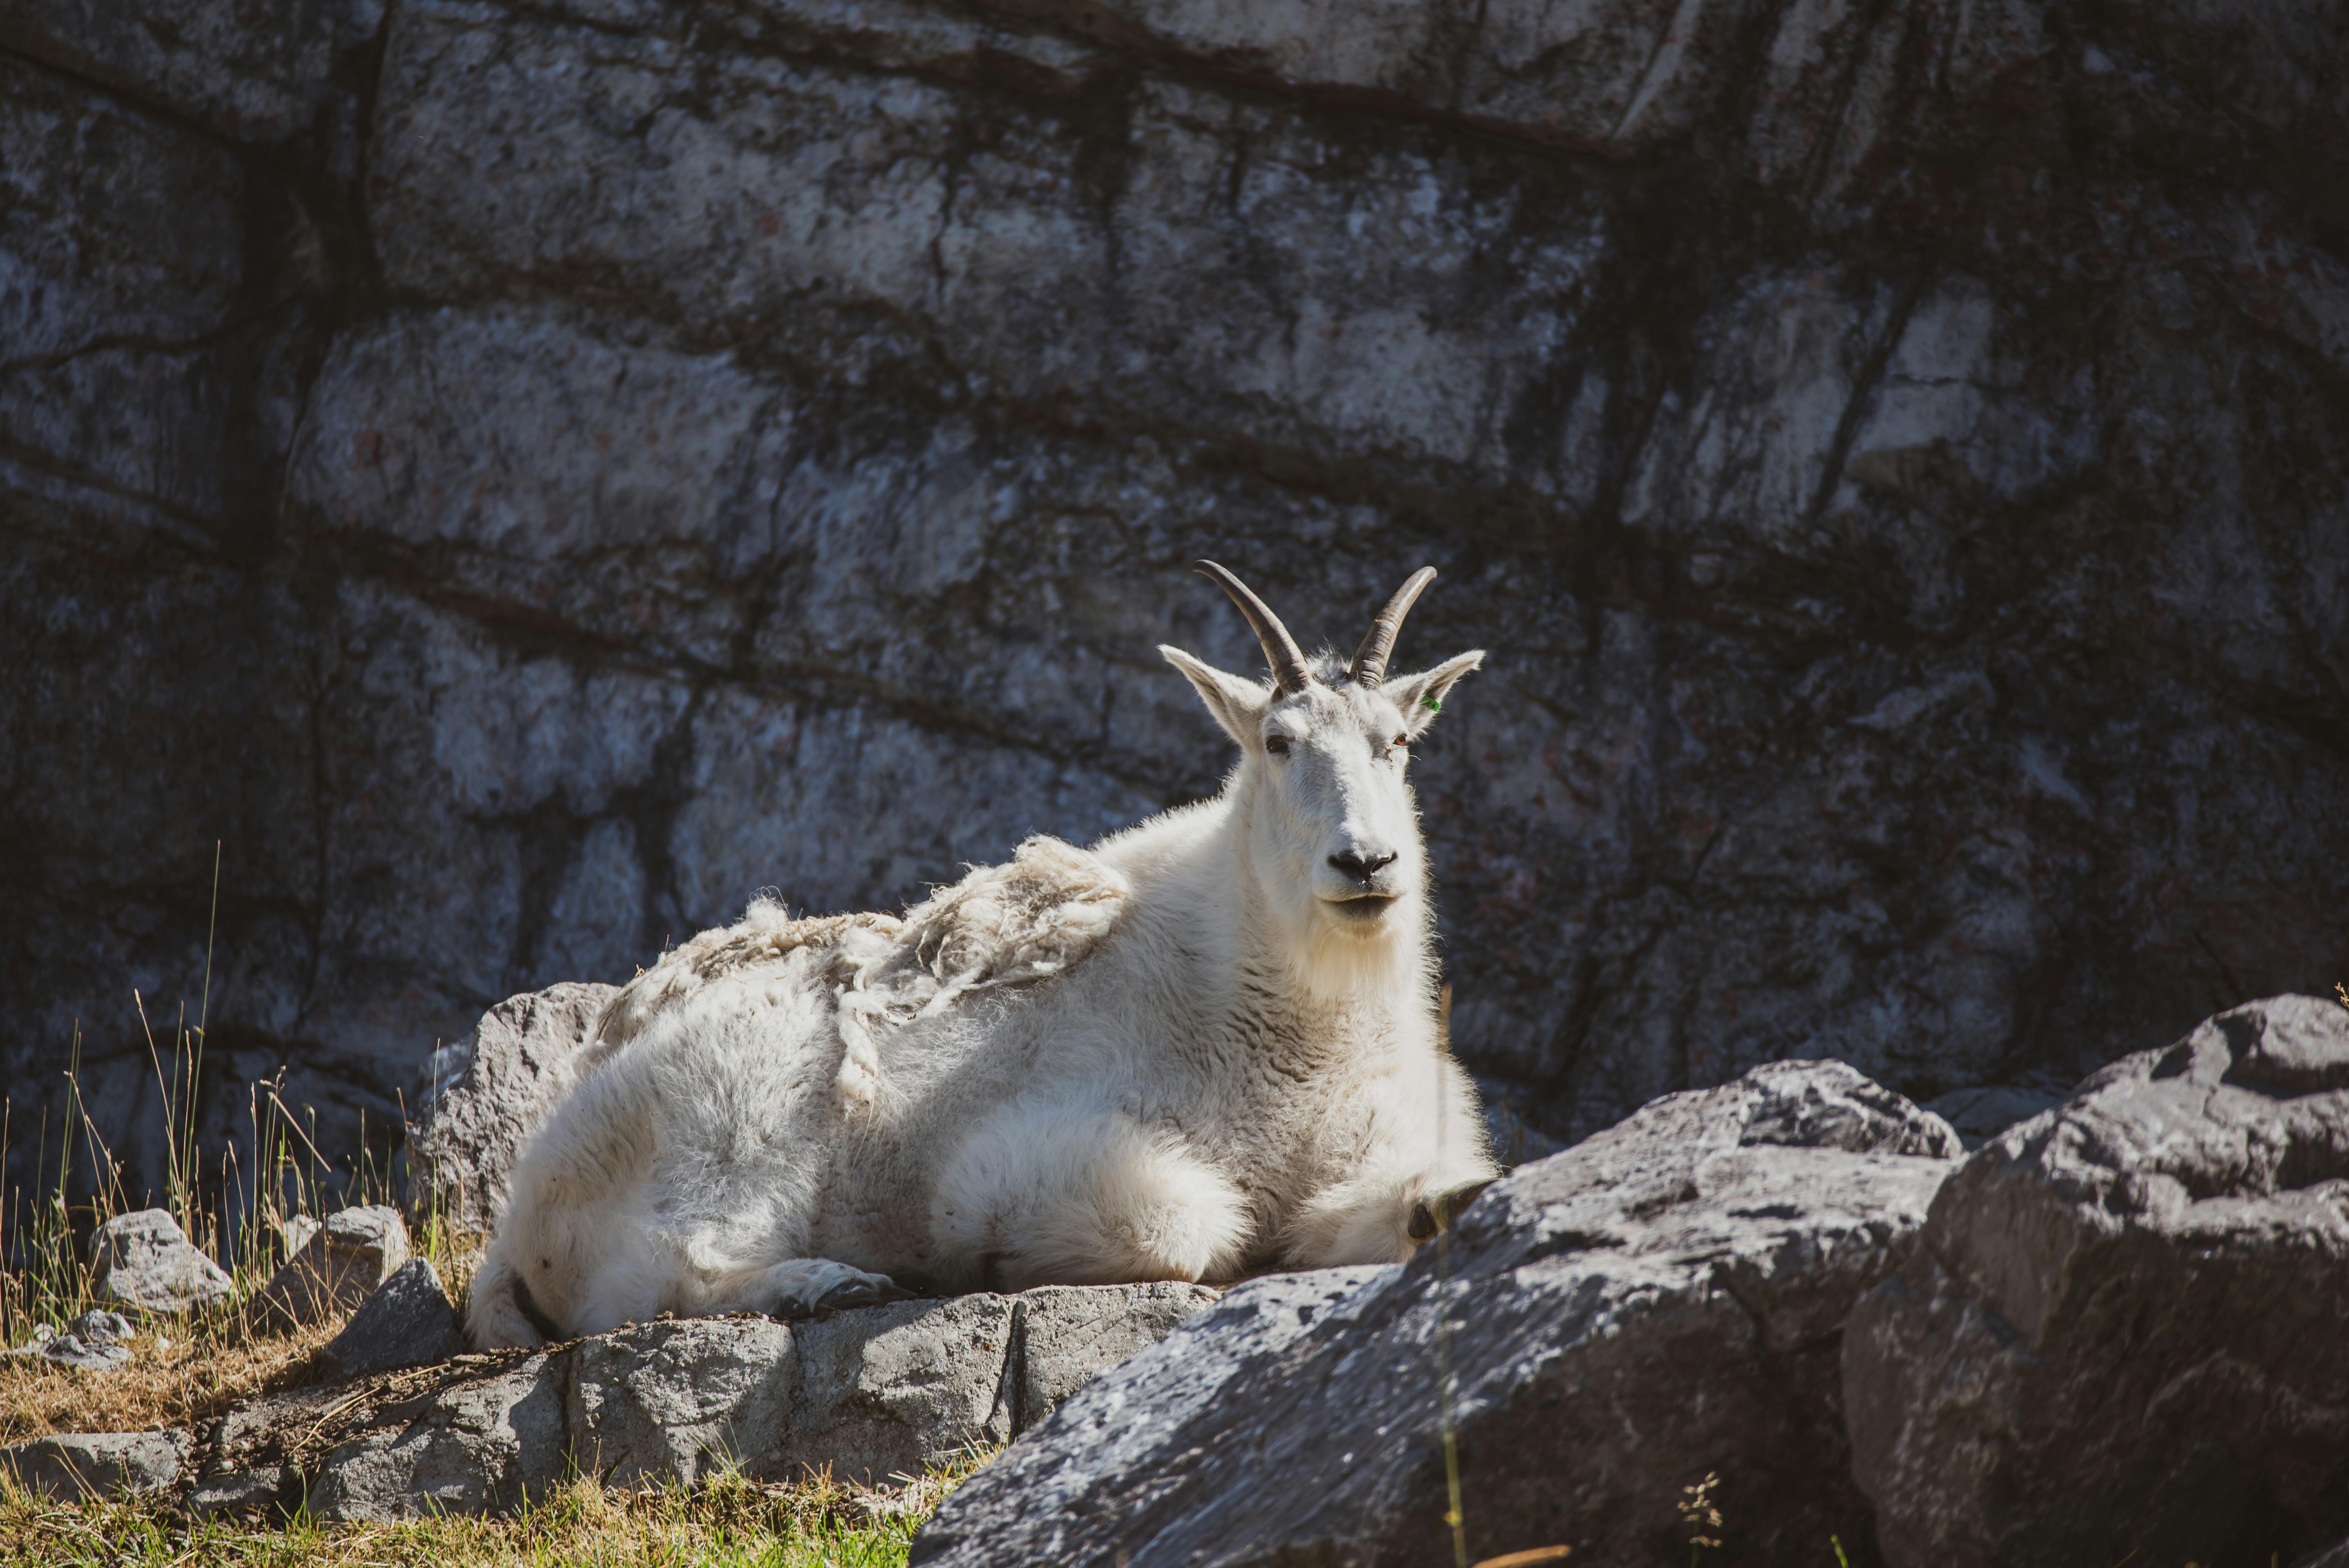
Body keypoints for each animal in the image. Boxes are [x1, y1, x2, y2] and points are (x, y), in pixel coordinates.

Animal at [469, 563, 1498, 1346]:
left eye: (1397, 742)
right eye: (1279, 741)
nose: (1364, 863)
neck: (1280, 1005)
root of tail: (518, 1221)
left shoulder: (1367, 1145)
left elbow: (1389, 1203)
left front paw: (1450, 1204)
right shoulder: (1028, 1150)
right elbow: (1187, 1222)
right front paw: (998, 1256)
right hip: (733, 1121)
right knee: (658, 1279)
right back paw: (828, 1281)